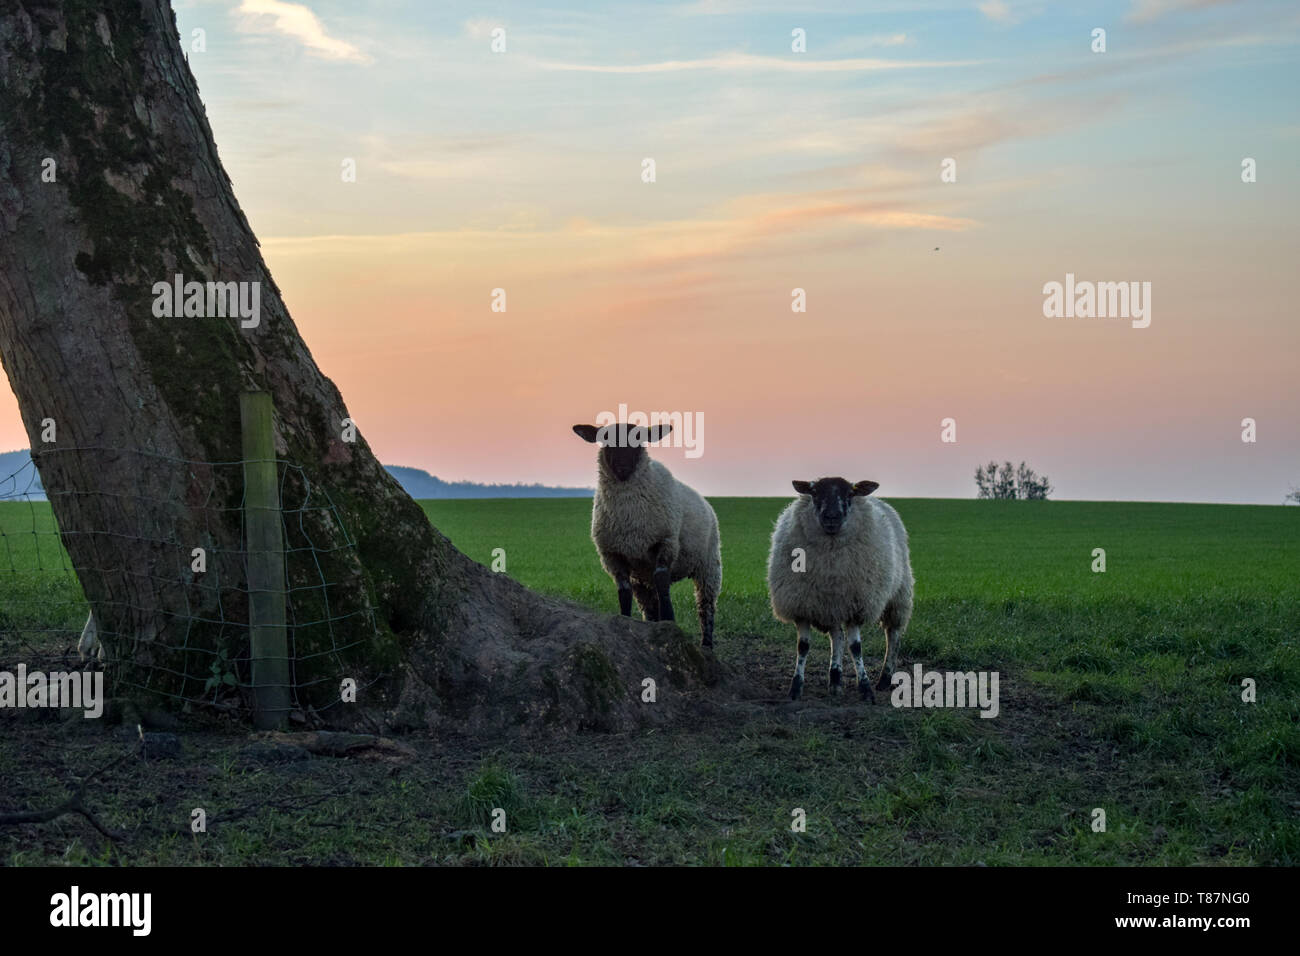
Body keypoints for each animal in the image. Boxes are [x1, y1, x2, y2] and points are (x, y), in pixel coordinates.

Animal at [572, 421, 721, 647]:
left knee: (705, 606)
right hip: (642, 577)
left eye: (638, 439)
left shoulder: (665, 543)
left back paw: (706, 644)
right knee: (650, 605)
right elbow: (623, 592)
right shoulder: (613, 555)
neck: (629, 515)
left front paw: (670, 621)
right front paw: (624, 621)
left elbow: (662, 583)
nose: (622, 466)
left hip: (709, 566)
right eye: (606, 439)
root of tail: (706, 503)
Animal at [766, 476, 913, 701]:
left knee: (893, 634)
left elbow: (856, 648)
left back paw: (884, 678)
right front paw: (796, 687)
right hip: (832, 605)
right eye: (814, 492)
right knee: (837, 637)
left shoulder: (857, 606)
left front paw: (865, 688)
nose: (831, 517)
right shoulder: (802, 605)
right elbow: (803, 646)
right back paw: (835, 680)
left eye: (850, 493)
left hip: (899, 595)